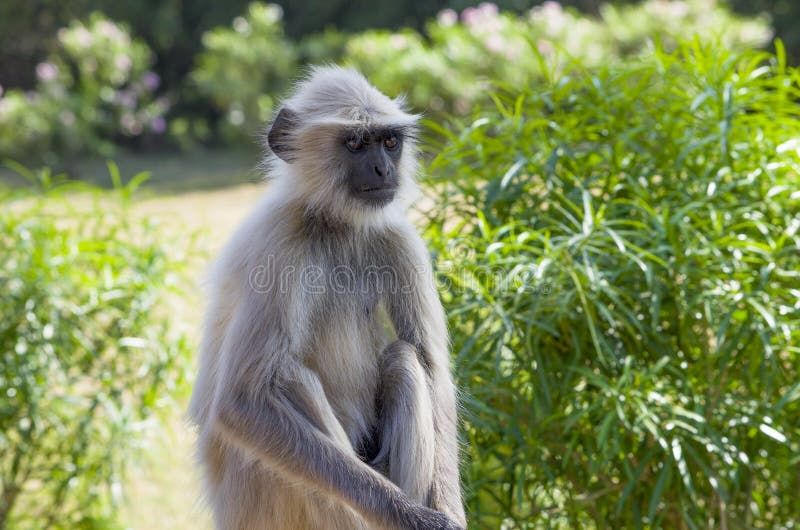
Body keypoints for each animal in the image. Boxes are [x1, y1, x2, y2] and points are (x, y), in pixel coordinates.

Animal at [188, 66, 466, 530]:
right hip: (262, 497)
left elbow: (432, 368)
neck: (336, 225)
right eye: (355, 143)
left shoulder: (399, 238)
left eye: (389, 142)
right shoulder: (279, 246)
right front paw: (415, 518)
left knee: (405, 359)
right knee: (287, 375)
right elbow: (241, 401)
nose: (382, 169)